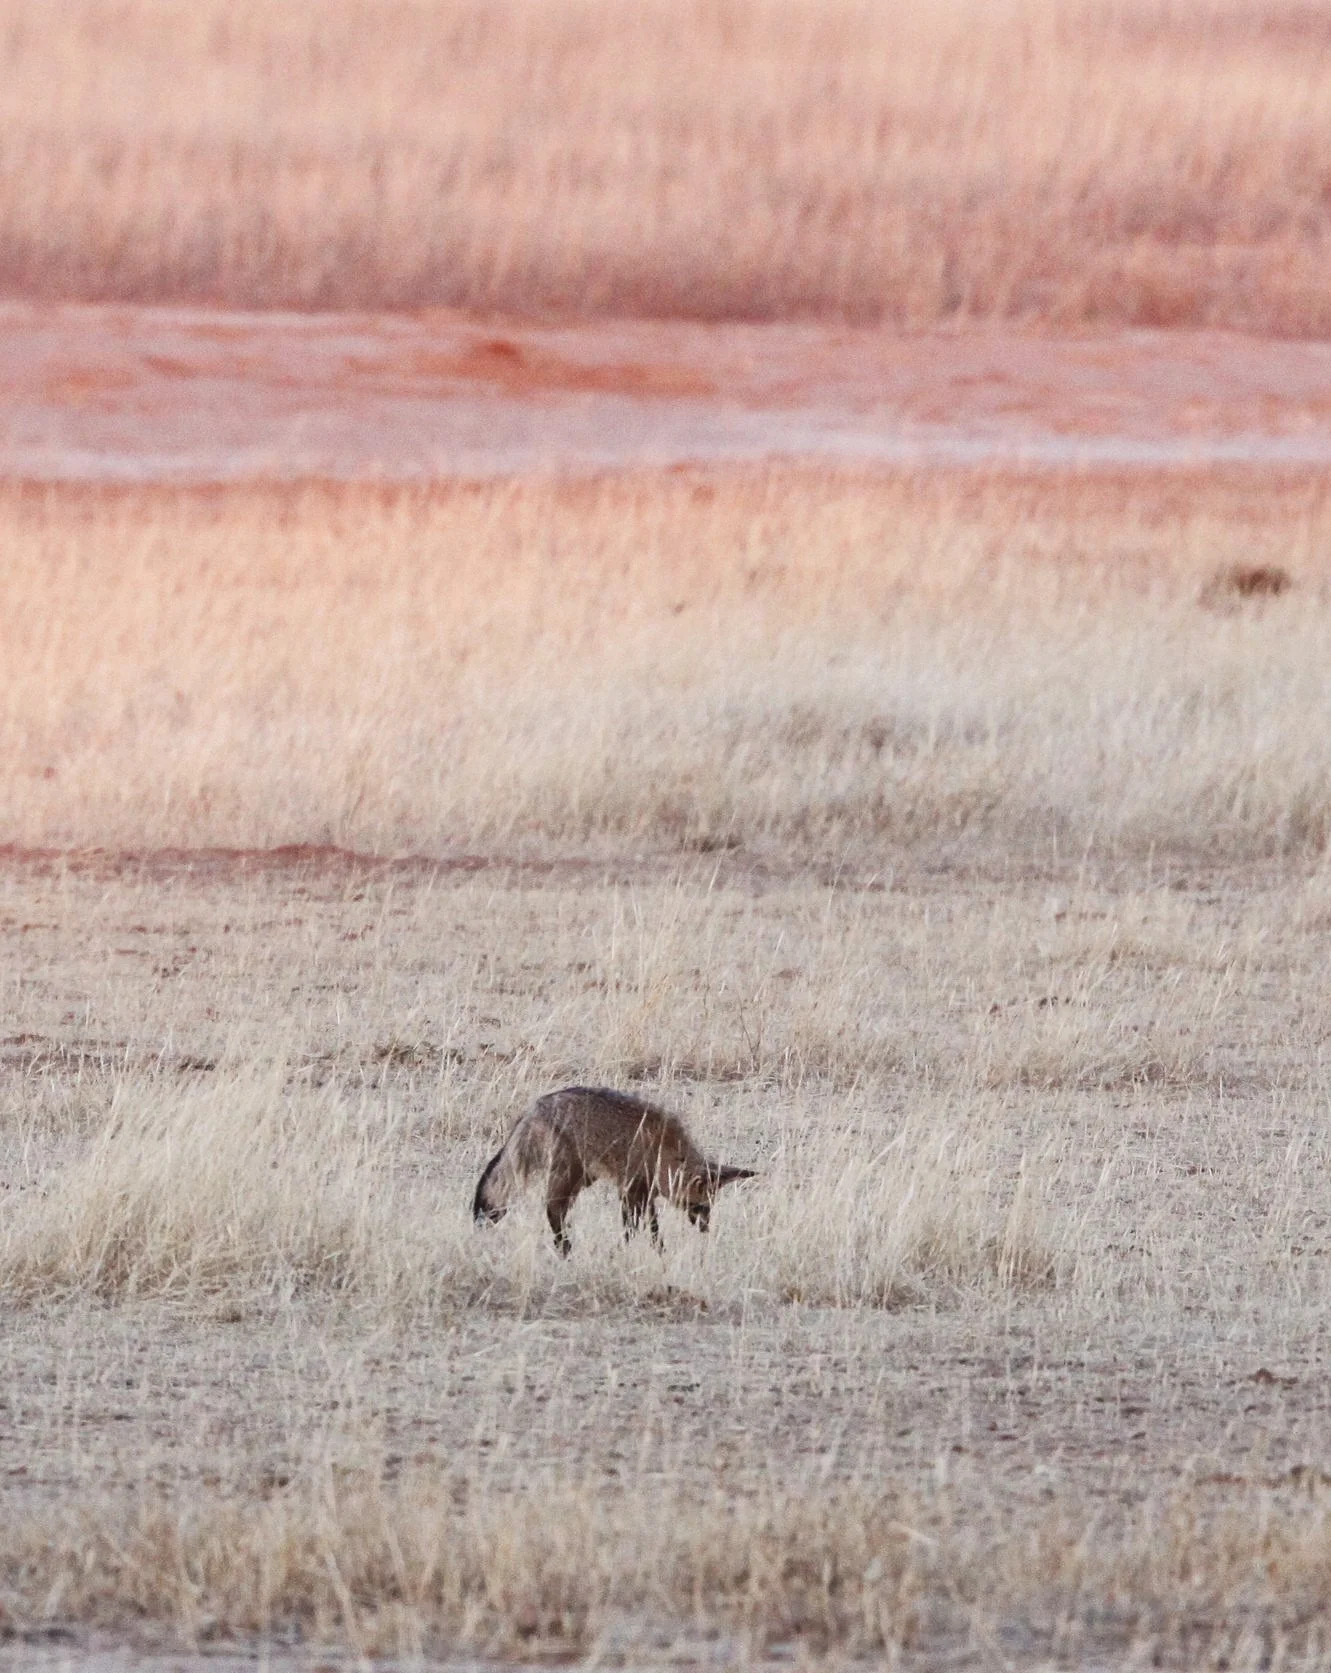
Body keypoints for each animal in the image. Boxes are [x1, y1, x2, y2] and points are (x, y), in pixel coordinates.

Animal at [472, 1086, 756, 1256]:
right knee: (553, 1210)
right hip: (568, 1175)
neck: (664, 1149)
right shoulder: (630, 1188)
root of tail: (536, 1106)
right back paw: (566, 1250)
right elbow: (632, 1227)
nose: (705, 1230)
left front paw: (659, 1252)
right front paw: (626, 1251)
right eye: (699, 1207)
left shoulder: (645, 1193)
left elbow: (653, 1228)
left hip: (582, 1178)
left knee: (556, 1211)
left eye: (709, 1208)